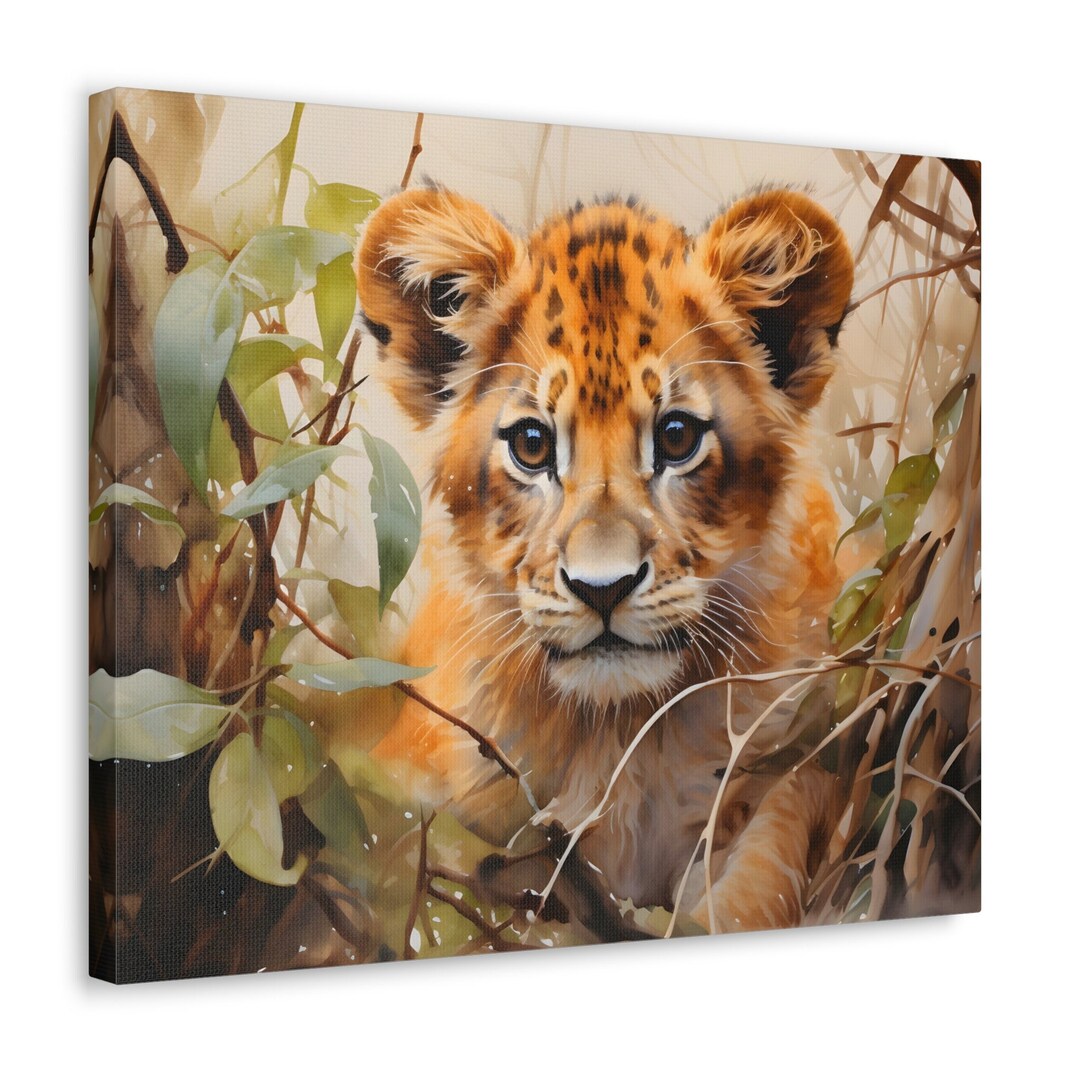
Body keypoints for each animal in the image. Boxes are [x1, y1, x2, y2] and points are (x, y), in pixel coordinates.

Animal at [355, 185, 854, 935]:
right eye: (532, 445)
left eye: (676, 437)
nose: (602, 588)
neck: (619, 738)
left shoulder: (814, 740)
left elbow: (777, 836)